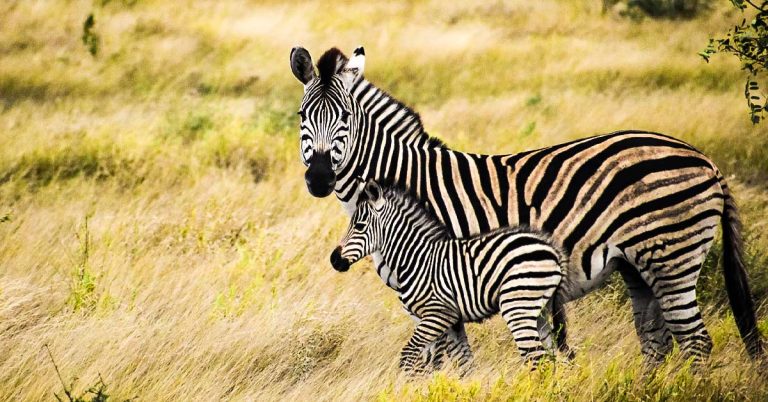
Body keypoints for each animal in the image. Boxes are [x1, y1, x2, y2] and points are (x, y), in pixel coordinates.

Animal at [331, 179, 567, 373]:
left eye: (359, 226)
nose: (334, 260)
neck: (417, 259)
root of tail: (551, 250)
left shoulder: (437, 314)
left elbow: (409, 357)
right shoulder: (450, 323)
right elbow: (458, 364)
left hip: (517, 305)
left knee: (537, 358)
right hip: (539, 311)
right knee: (555, 358)